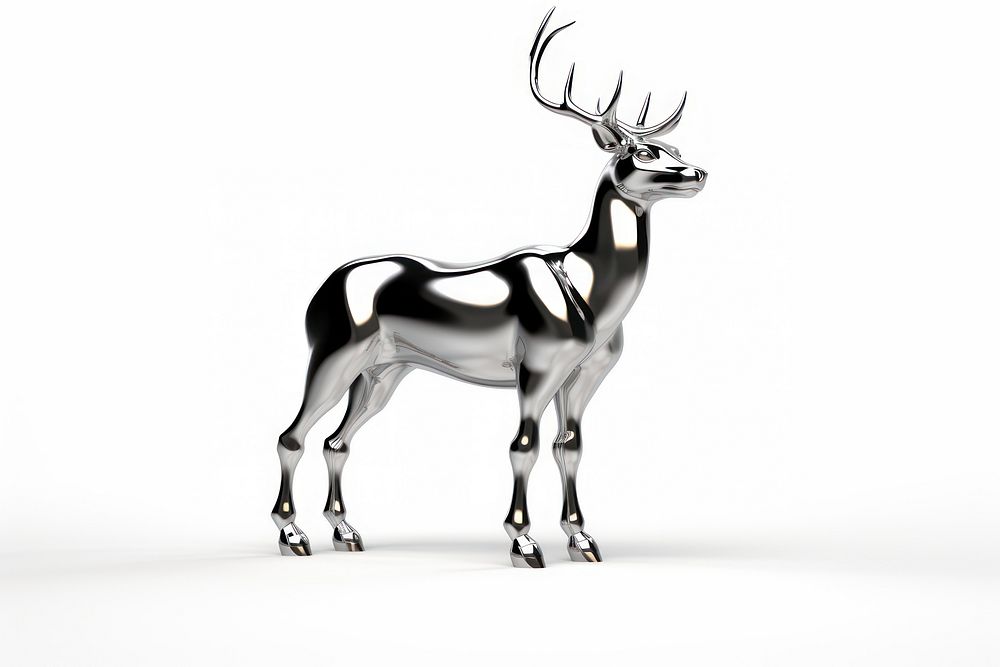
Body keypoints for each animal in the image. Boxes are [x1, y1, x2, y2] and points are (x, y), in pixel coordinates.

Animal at [271, 8, 707, 567]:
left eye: (673, 146)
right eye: (643, 150)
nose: (696, 172)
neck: (586, 287)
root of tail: (320, 292)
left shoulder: (583, 374)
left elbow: (570, 446)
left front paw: (583, 541)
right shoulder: (536, 366)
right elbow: (524, 445)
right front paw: (524, 543)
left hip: (382, 372)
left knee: (335, 441)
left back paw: (347, 533)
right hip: (331, 354)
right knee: (291, 435)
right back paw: (292, 536)